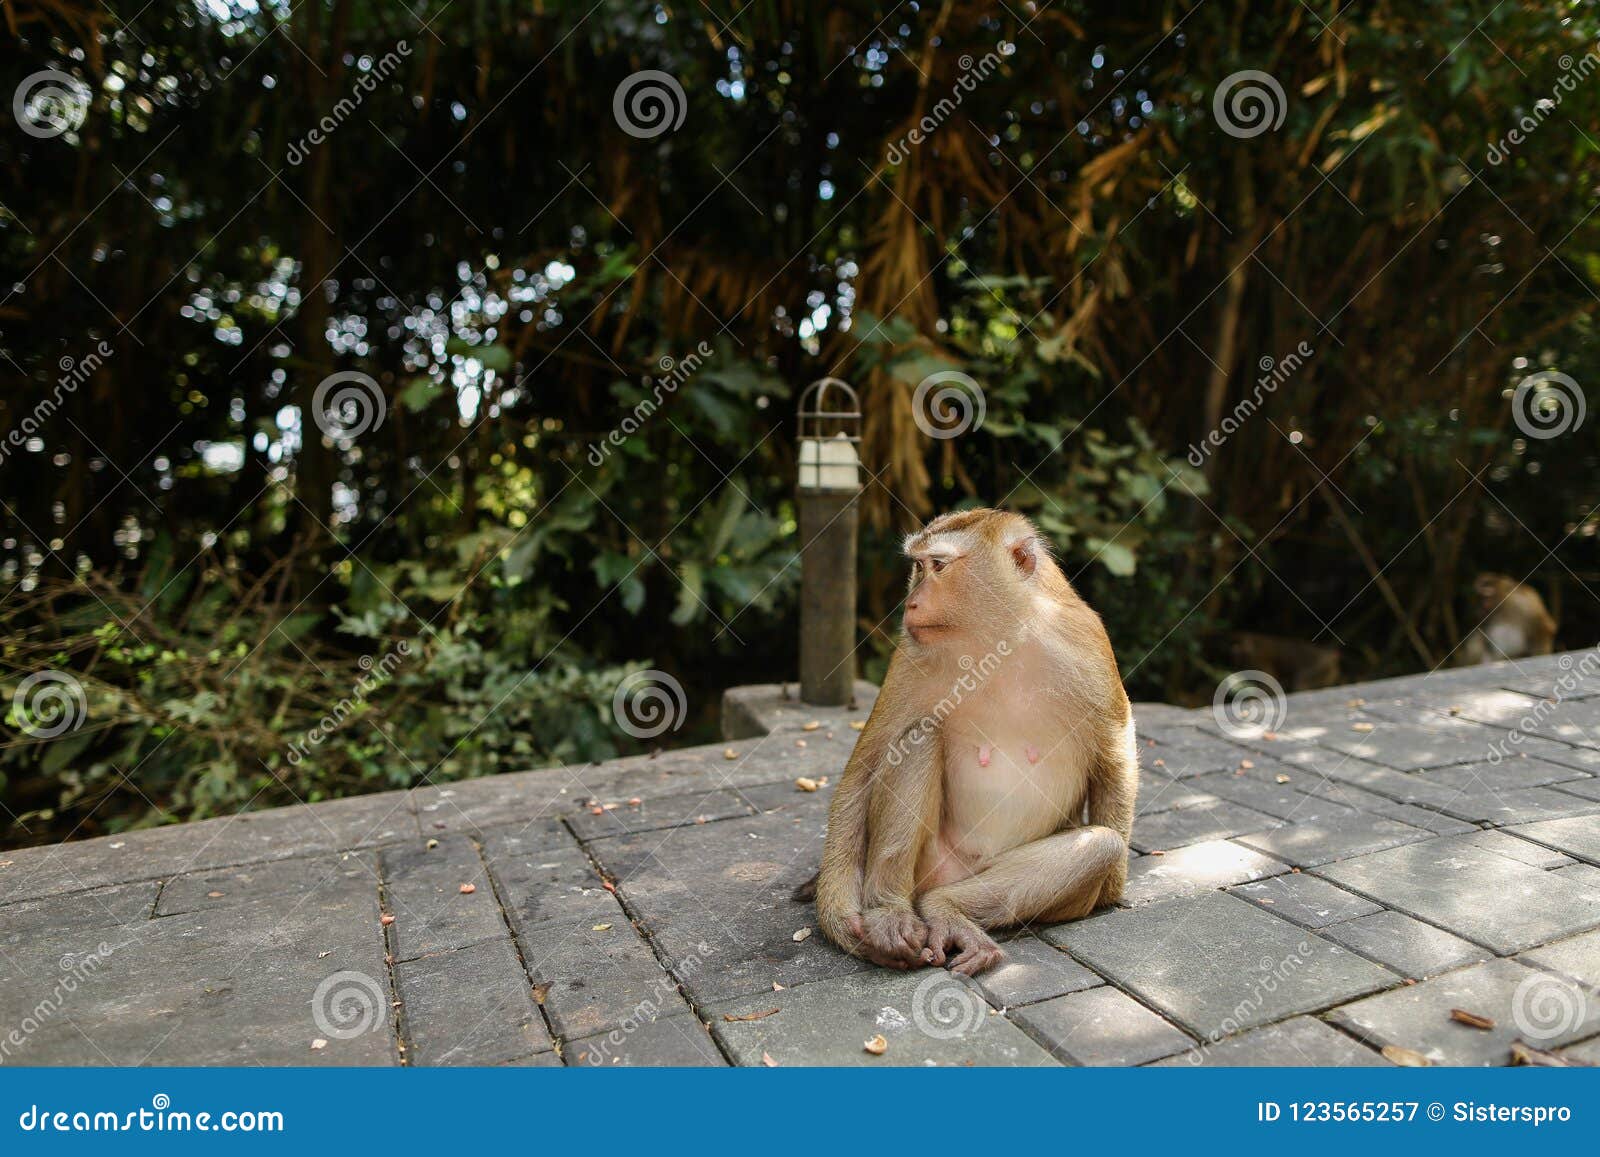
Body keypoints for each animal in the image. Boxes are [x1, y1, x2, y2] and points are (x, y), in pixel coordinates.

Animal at [798, 508, 1137, 976]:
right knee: (918, 735)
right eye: (917, 568)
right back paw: (890, 911)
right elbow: (864, 770)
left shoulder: (1086, 644)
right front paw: (841, 917)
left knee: (1101, 845)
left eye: (938, 566)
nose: (911, 603)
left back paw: (946, 909)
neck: (999, 639)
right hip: (929, 863)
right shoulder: (911, 653)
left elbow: (1114, 753)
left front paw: (1111, 890)